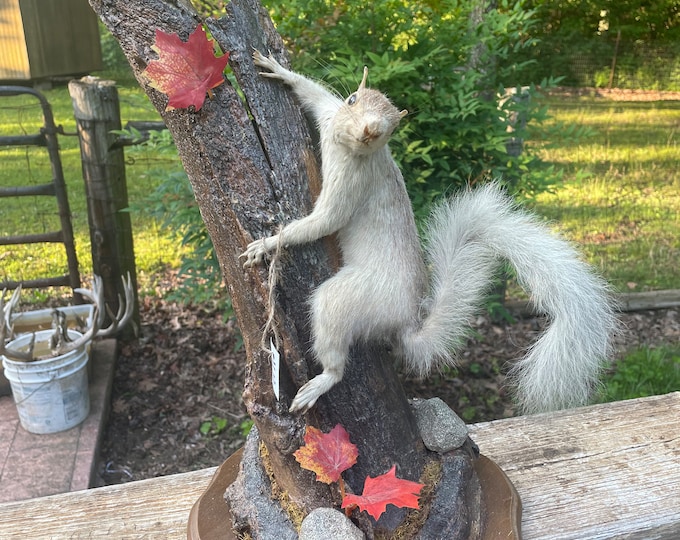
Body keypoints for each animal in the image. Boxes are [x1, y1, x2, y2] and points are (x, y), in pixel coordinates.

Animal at [242, 50, 617, 415]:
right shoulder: (331, 115)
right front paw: (279, 70)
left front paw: (269, 243)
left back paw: (321, 382)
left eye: (389, 130)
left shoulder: (352, 183)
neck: (348, 148)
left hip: (350, 297)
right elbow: (316, 95)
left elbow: (324, 221)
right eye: (352, 99)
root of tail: (404, 322)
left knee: (336, 354)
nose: (368, 129)